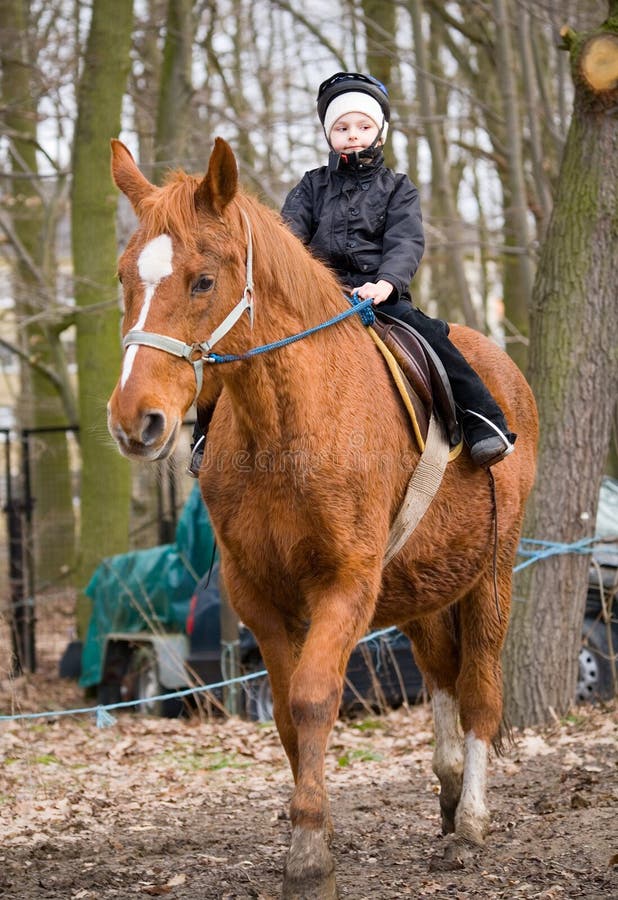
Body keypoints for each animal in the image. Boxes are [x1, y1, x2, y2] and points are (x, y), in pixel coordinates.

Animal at [108, 137, 538, 899]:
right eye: (127, 276)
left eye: (202, 281)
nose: (137, 420)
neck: (286, 425)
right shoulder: (259, 597)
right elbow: (285, 714)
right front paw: (315, 834)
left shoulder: (345, 585)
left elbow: (313, 700)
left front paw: (309, 856)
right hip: (425, 589)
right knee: (442, 677)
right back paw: (449, 793)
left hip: (493, 575)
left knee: (481, 692)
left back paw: (472, 824)